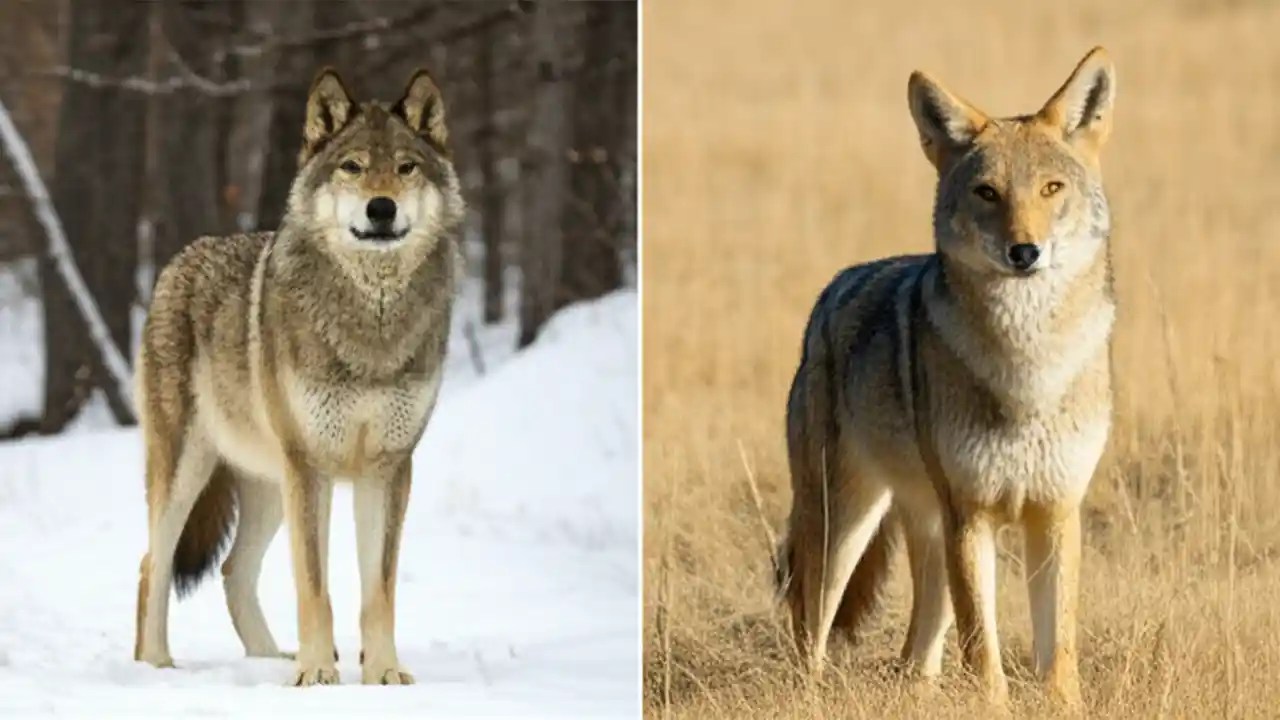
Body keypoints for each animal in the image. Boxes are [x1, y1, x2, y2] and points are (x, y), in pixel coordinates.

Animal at [132, 67, 464, 686]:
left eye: (406, 167)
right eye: (352, 166)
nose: (381, 208)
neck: (370, 324)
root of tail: (179, 258)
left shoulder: (388, 468)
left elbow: (378, 591)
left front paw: (382, 673)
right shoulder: (311, 468)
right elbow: (315, 586)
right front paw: (315, 675)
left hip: (267, 485)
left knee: (234, 569)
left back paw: (268, 659)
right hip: (191, 471)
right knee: (153, 563)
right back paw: (158, 665)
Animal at [776, 48, 1117, 705]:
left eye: (1051, 188)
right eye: (987, 192)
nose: (1024, 252)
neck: (1028, 371)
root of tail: (830, 294)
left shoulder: (1056, 511)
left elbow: (1056, 655)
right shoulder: (972, 515)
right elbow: (983, 652)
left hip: (924, 530)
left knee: (919, 650)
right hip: (843, 524)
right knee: (810, 632)